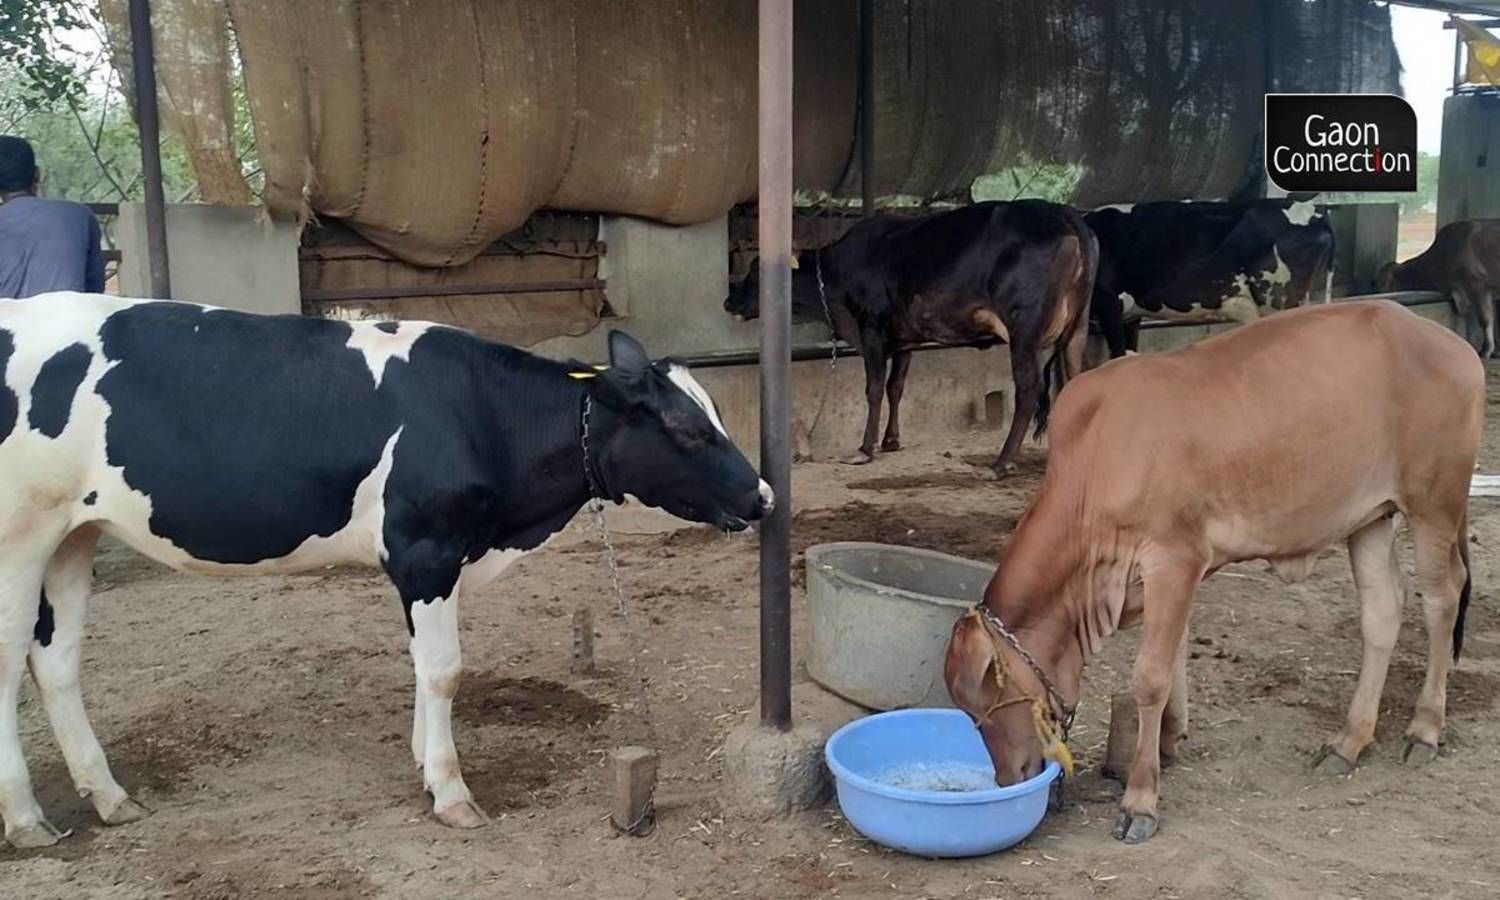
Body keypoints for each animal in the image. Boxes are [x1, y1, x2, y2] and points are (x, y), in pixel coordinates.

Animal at [0, 293, 773, 848]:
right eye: (687, 429)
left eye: (713, 414)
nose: (763, 495)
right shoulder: (425, 549)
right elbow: (444, 669)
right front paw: (452, 792)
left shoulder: (427, 559)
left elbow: (422, 665)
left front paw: (424, 762)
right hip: (19, 539)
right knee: (10, 665)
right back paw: (28, 820)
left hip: (73, 537)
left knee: (56, 663)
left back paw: (109, 797)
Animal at [723, 200, 1098, 476]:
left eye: (755, 271)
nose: (728, 302)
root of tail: (1065, 215)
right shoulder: (904, 338)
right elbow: (896, 387)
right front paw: (891, 440)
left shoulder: (871, 328)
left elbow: (874, 388)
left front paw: (865, 448)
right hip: (1077, 330)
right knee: (1077, 379)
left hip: (1024, 329)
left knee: (1028, 389)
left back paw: (1001, 463)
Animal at [943, 300, 1480, 844]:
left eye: (983, 700)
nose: (1008, 777)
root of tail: (1446, 340)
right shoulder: (1165, 576)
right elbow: (1176, 657)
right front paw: (1166, 743)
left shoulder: (1173, 558)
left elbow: (1151, 676)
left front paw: (1140, 800)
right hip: (1369, 517)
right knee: (1382, 612)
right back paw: (1347, 743)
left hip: (1434, 502)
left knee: (1442, 599)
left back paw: (1424, 730)